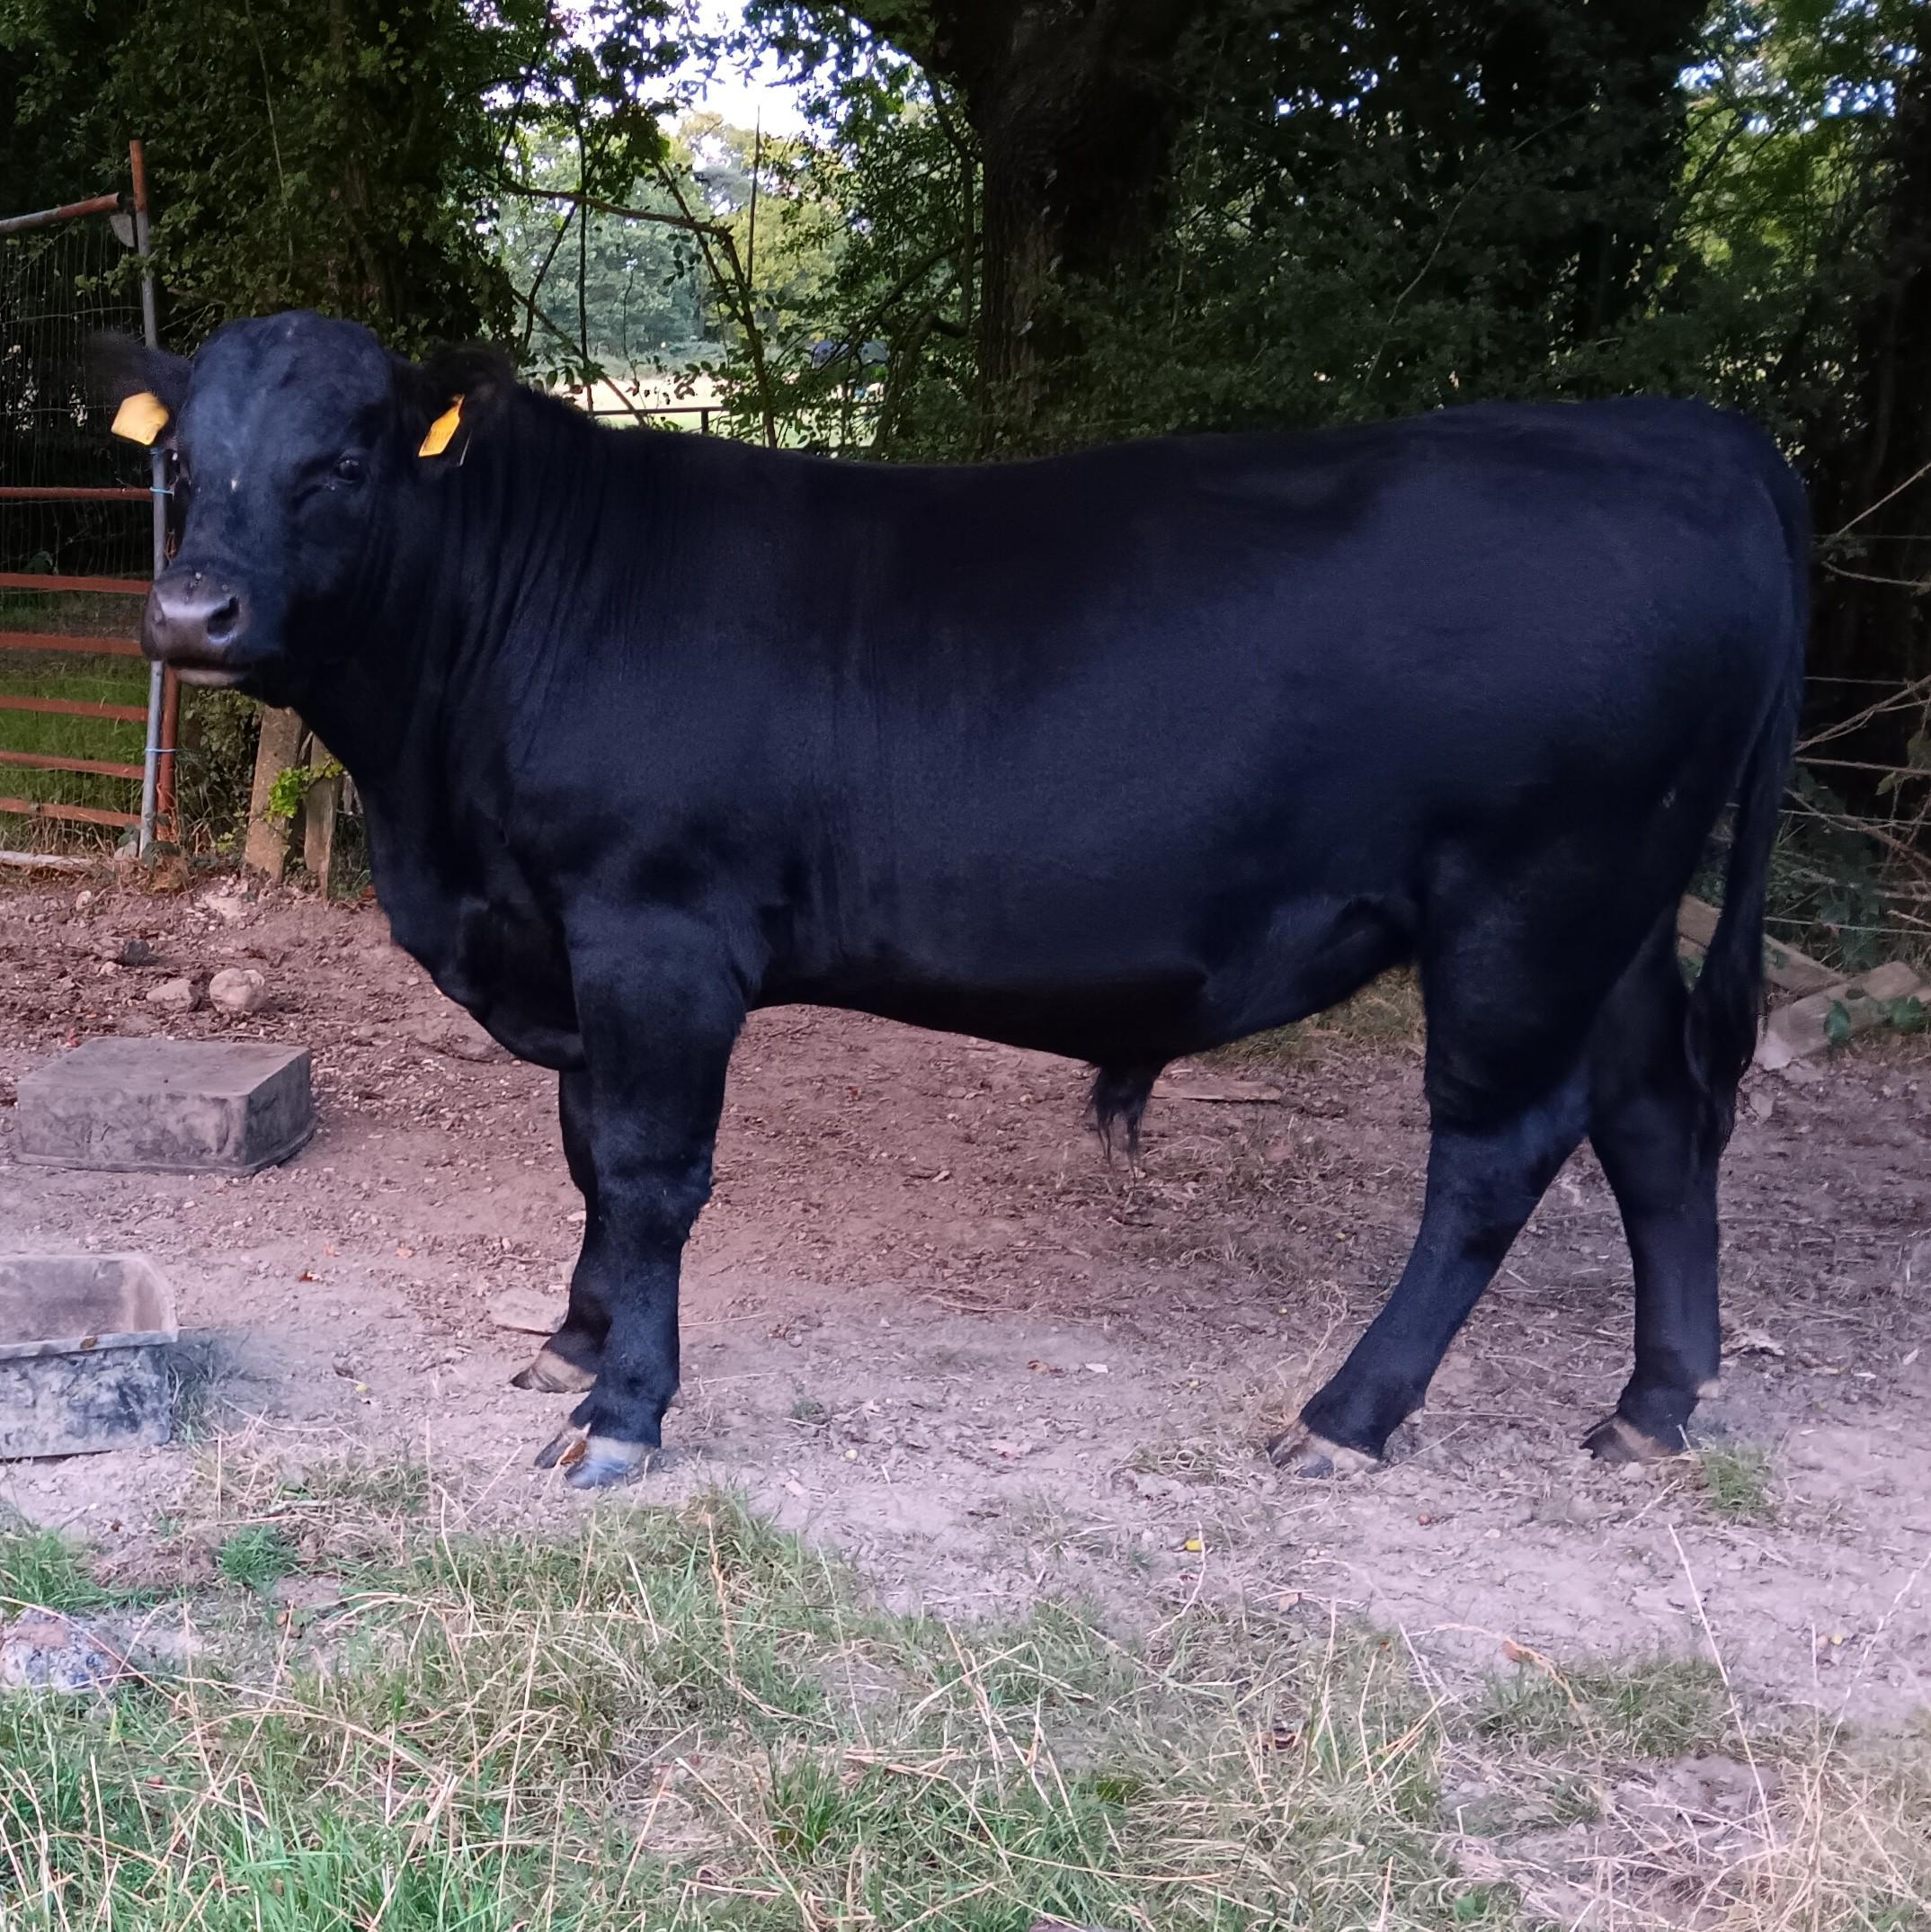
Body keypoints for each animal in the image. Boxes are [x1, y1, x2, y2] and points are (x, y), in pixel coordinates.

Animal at [94, 312, 1806, 1490]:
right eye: (178, 461)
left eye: (342, 462)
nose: (194, 612)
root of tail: (1689, 433)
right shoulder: (567, 938)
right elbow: (583, 1153)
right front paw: (573, 1339)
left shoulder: (656, 927)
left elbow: (646, 1172)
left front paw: (622, 1407)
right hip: (1619, 918)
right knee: (1655, 1118)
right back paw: (1652, 1404)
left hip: (1527, 901)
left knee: (1496, 1155)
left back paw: (1348, 1414)